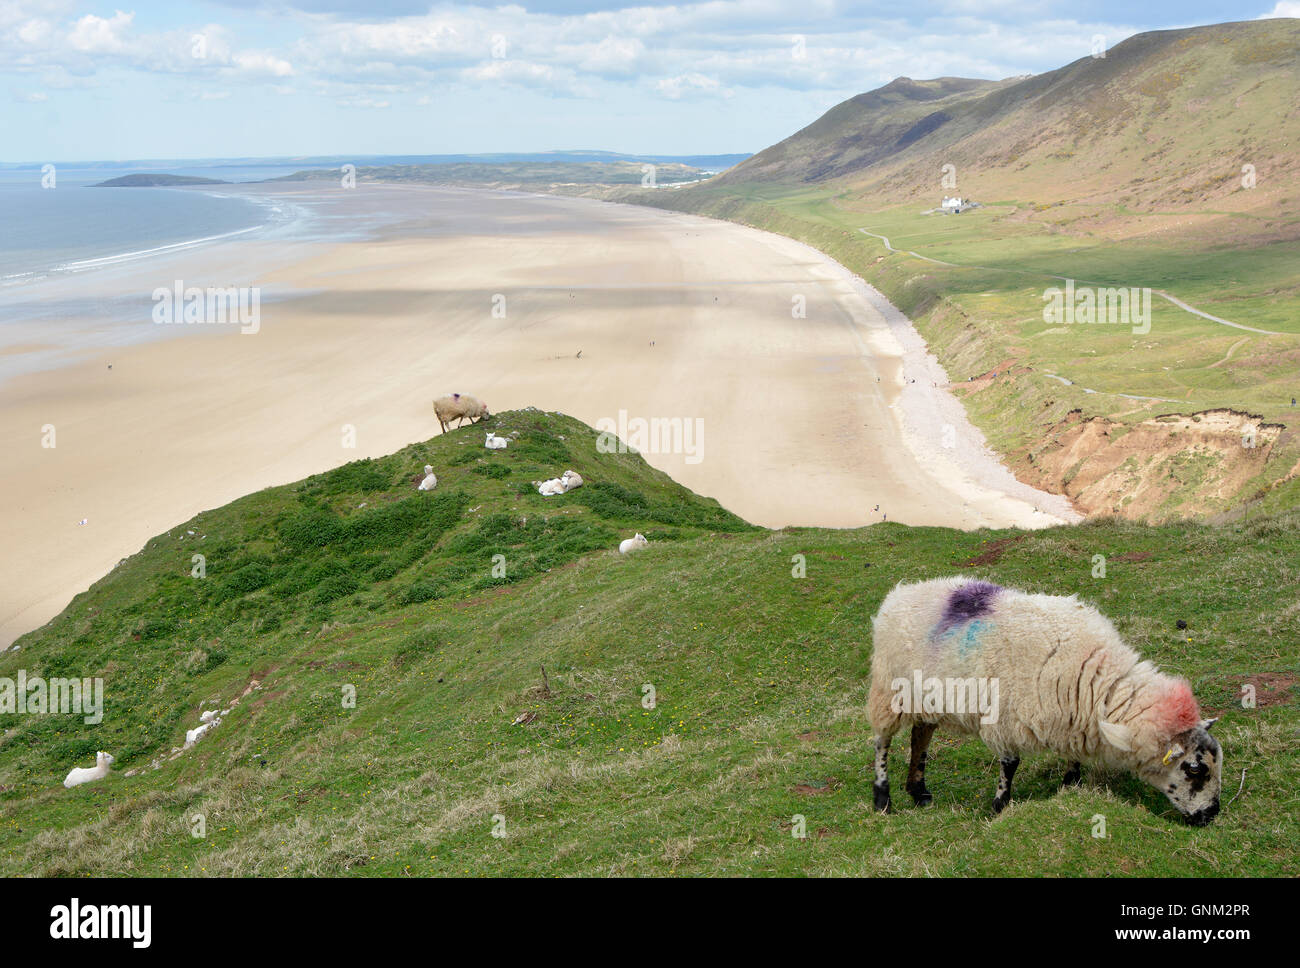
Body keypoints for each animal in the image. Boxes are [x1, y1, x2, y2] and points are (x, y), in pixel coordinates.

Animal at [867, 576, 1222, 825]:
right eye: (1194, 769)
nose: (1211, 815)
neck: (1096, 680)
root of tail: (899, 593)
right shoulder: (1007, 716)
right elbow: (1010, 764)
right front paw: (1000, 806)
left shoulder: (1074, 715)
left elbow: (1073, 756)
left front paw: (1071, 786)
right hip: (889, 690)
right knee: (883, 741)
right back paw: (883, 798)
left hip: (924, 698)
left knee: (920, 737)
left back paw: (919, 792)